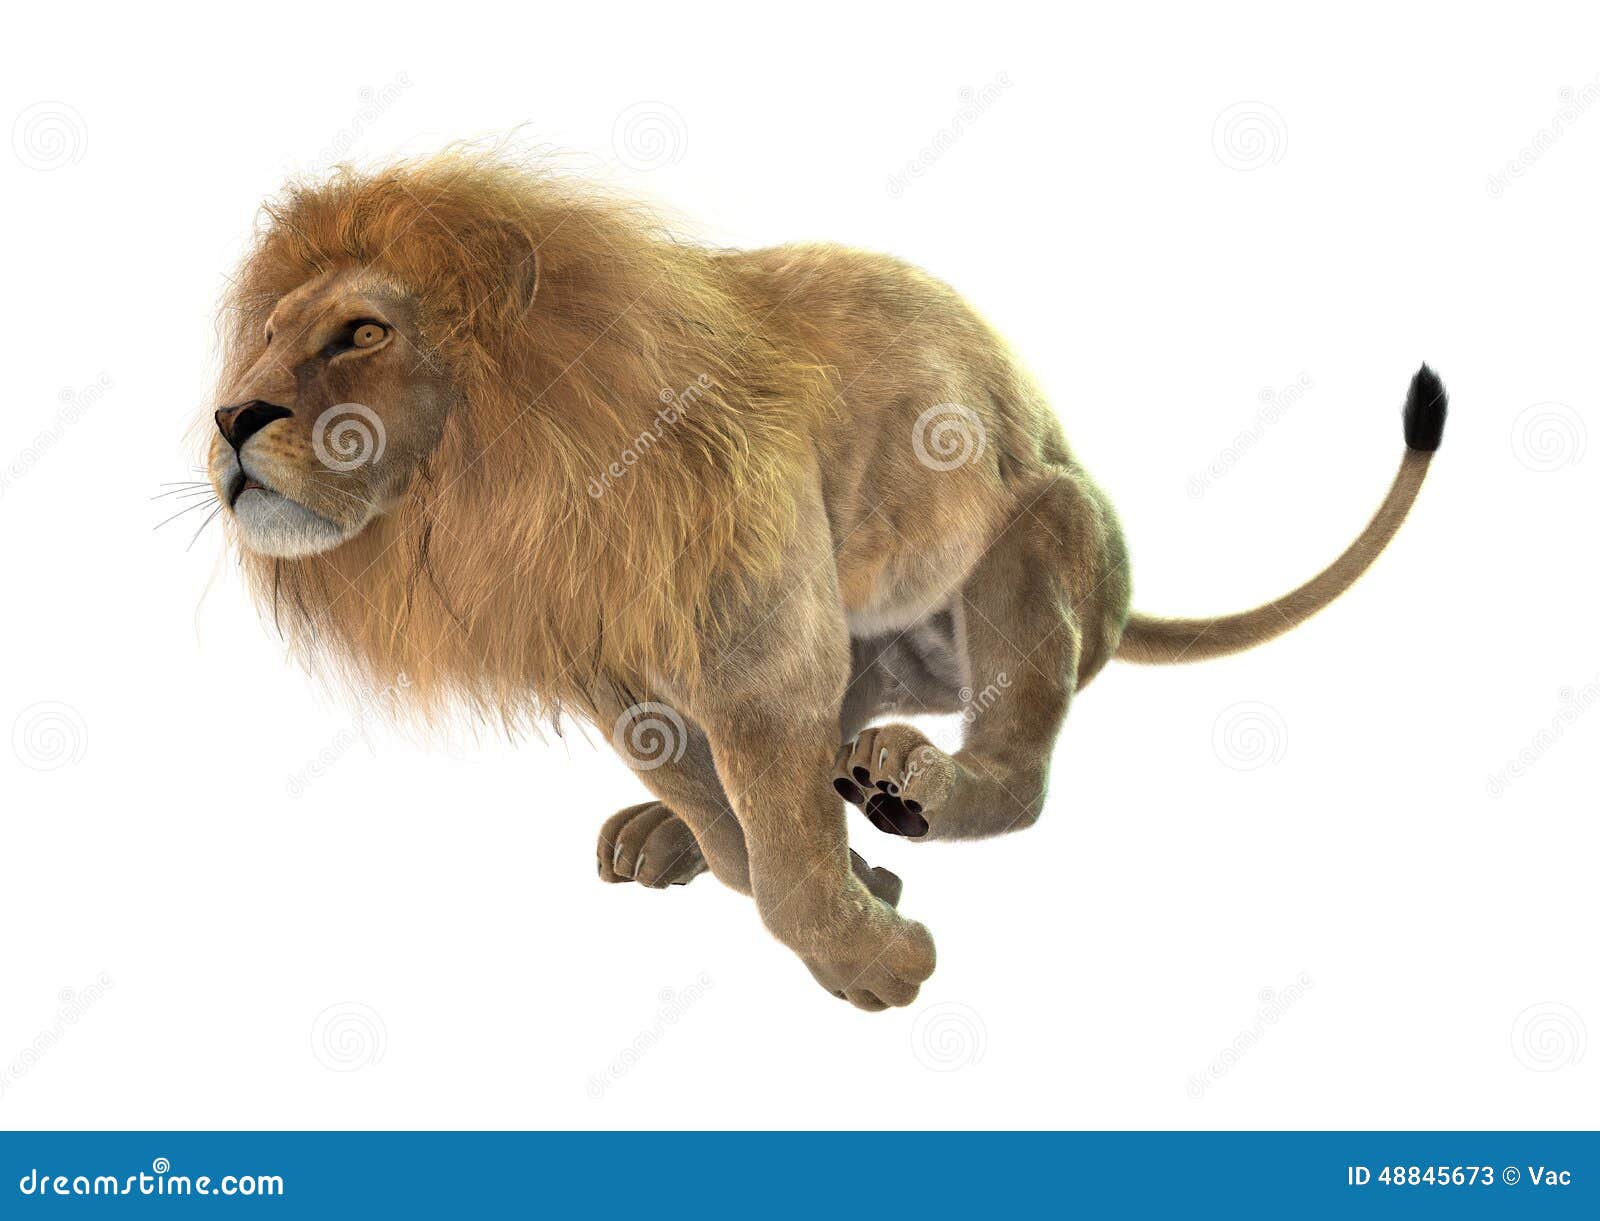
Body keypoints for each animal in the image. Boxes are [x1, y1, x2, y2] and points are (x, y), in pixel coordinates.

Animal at [202, 149, 1447, 1010]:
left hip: (1036, 528)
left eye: (362, 333)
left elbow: (784, 857)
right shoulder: (620, 675)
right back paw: (696, 830)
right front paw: (817, 877)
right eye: (263, 338)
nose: (227, 419)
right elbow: (733, 826)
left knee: (1021, 773)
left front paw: (872, 953)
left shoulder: (759, 656)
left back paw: (913, 789)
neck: (490, 488)